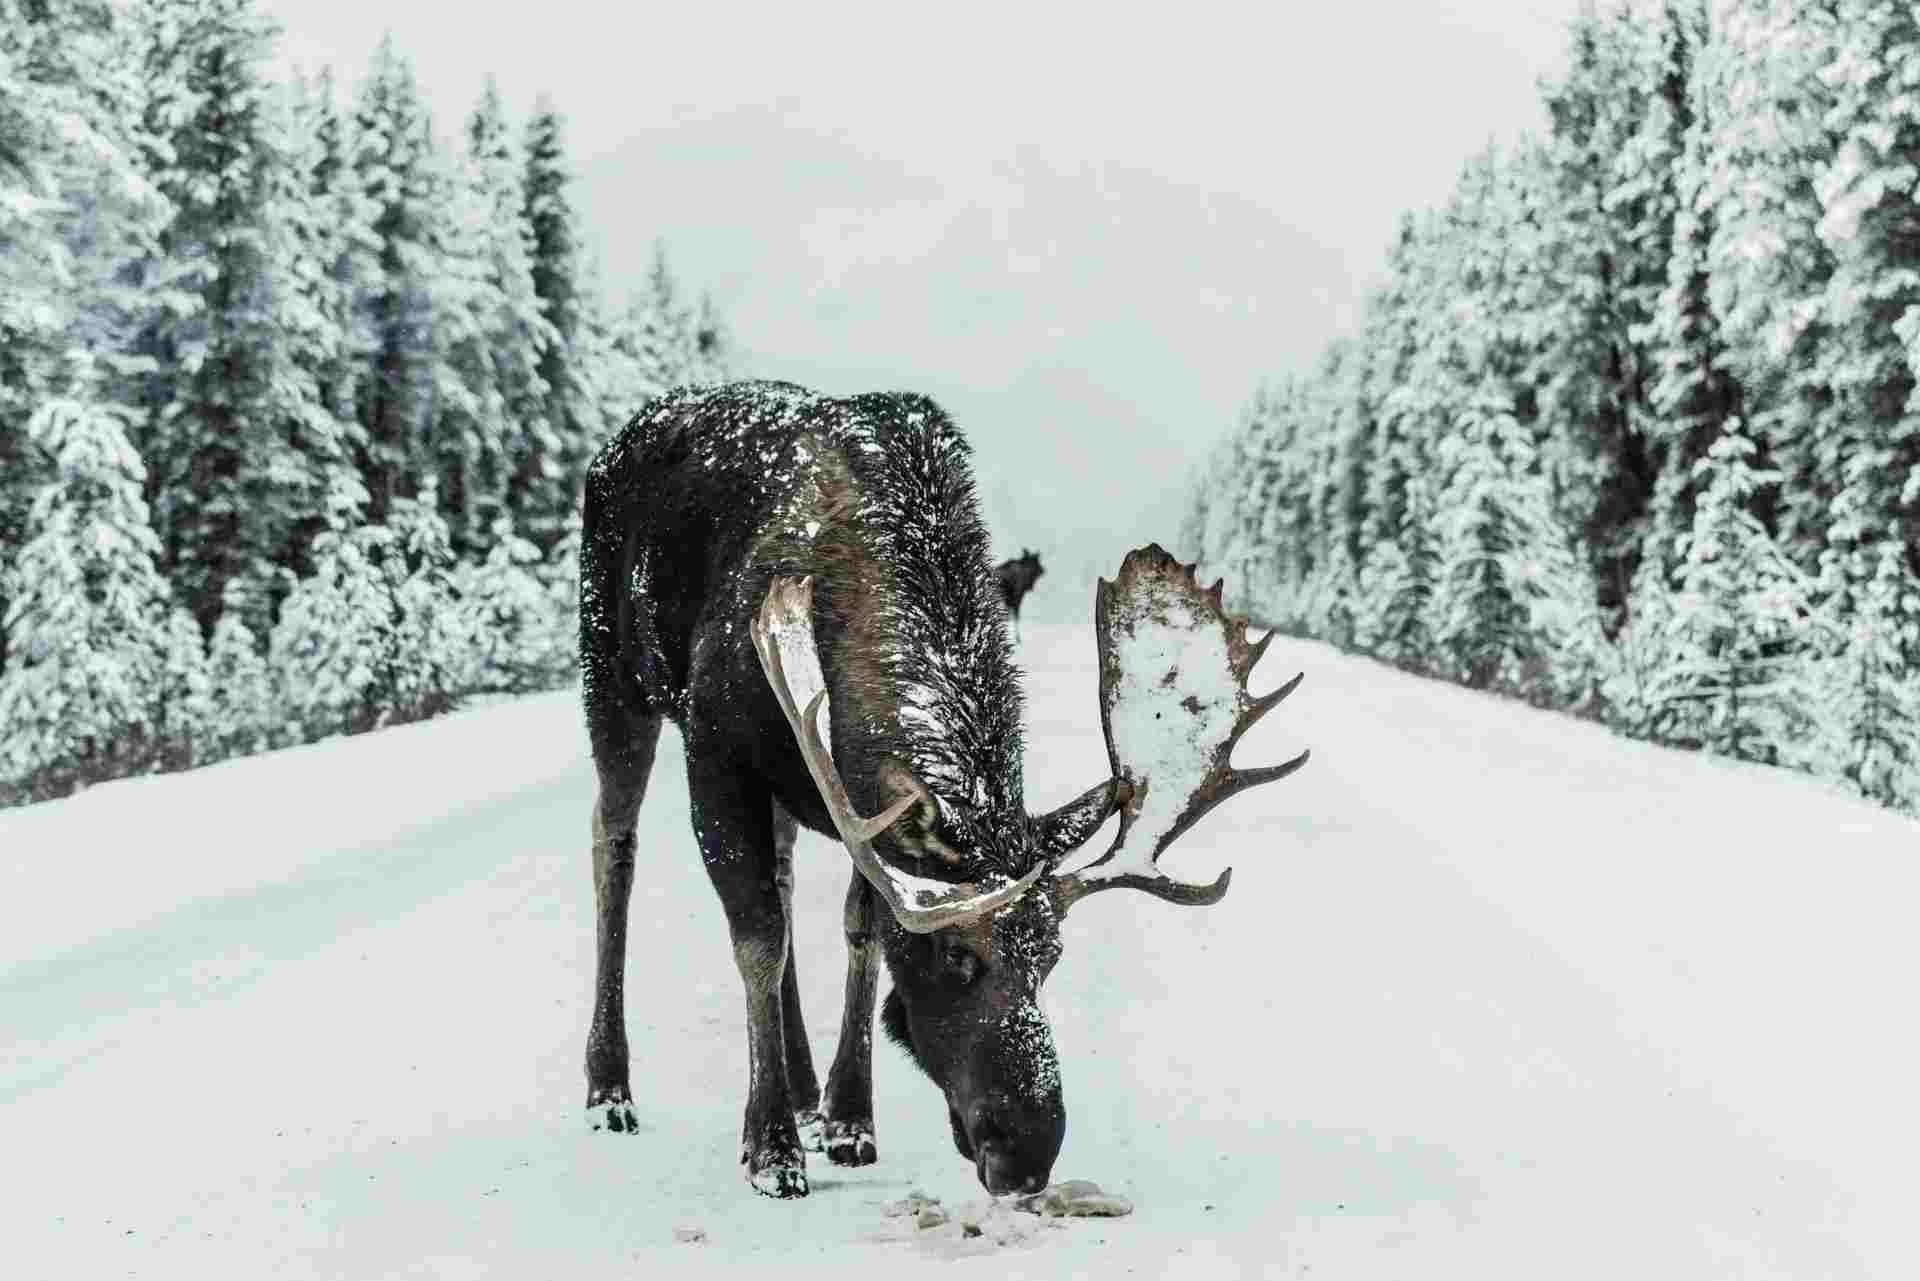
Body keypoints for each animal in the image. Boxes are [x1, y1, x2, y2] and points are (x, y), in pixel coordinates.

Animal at [576, 380, 1313, 1206]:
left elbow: (860, 929)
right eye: (957, 956)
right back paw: (610, 1088)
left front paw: (848, 1116)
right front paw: (770, 1147)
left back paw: (802, 1084)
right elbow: (758, 936)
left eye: (1053, 955)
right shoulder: (715, 742)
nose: (1028, 1152)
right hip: (613, 676)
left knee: (786, 875)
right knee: (615, 845)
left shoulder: (853, 797)